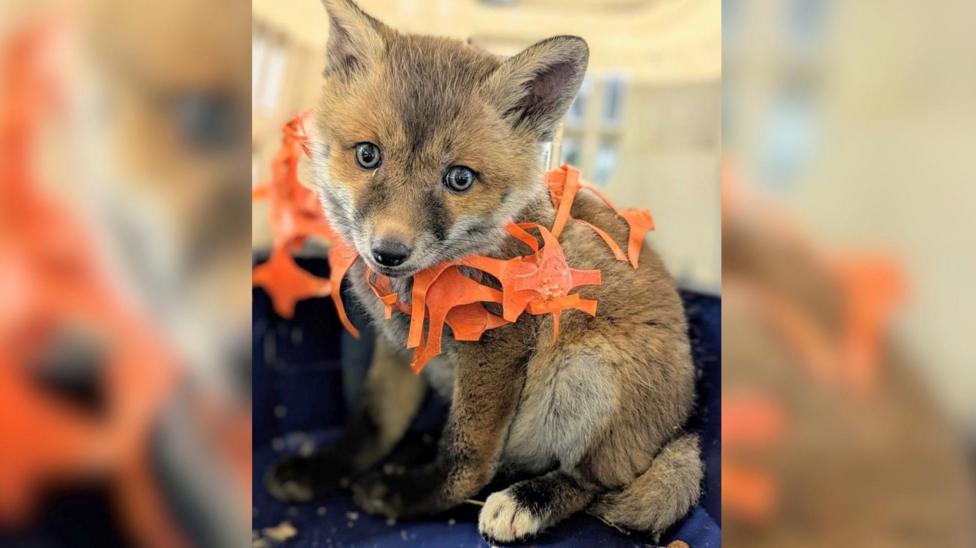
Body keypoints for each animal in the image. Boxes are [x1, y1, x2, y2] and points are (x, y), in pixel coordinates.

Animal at [266, 0, 702, 542]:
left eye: (459, 178)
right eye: (368, 155)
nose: (388, 252)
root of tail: (682, 425)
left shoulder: (497, 347)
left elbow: (466, 457)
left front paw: (406, 497)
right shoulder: (398, 347)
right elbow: (373, 422)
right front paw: (329, 468)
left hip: (588, 374)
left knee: (594, 485)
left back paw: (527, 500)